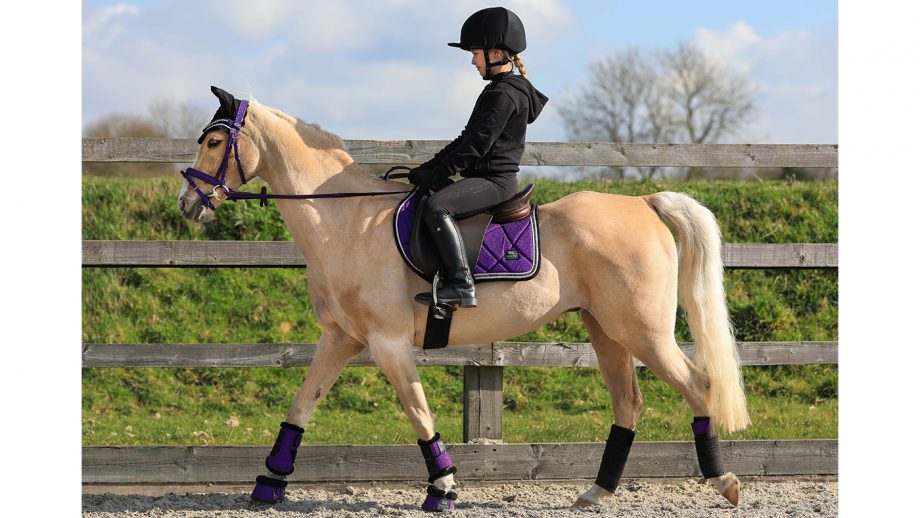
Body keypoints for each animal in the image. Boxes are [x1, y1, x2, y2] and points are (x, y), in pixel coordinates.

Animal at [177, 87, 749, 511]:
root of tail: (644, 203)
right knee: (629, 402)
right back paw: (596, 492)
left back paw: (724, 482)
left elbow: (418, 411)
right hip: (606, 330)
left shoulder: (387, 343)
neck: (346, 223)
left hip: (642, 331)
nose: (188, 203)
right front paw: (268, 484)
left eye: (214, 141)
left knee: (699, 385)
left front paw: (443, 490)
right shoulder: (340, 339)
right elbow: (302, 404)